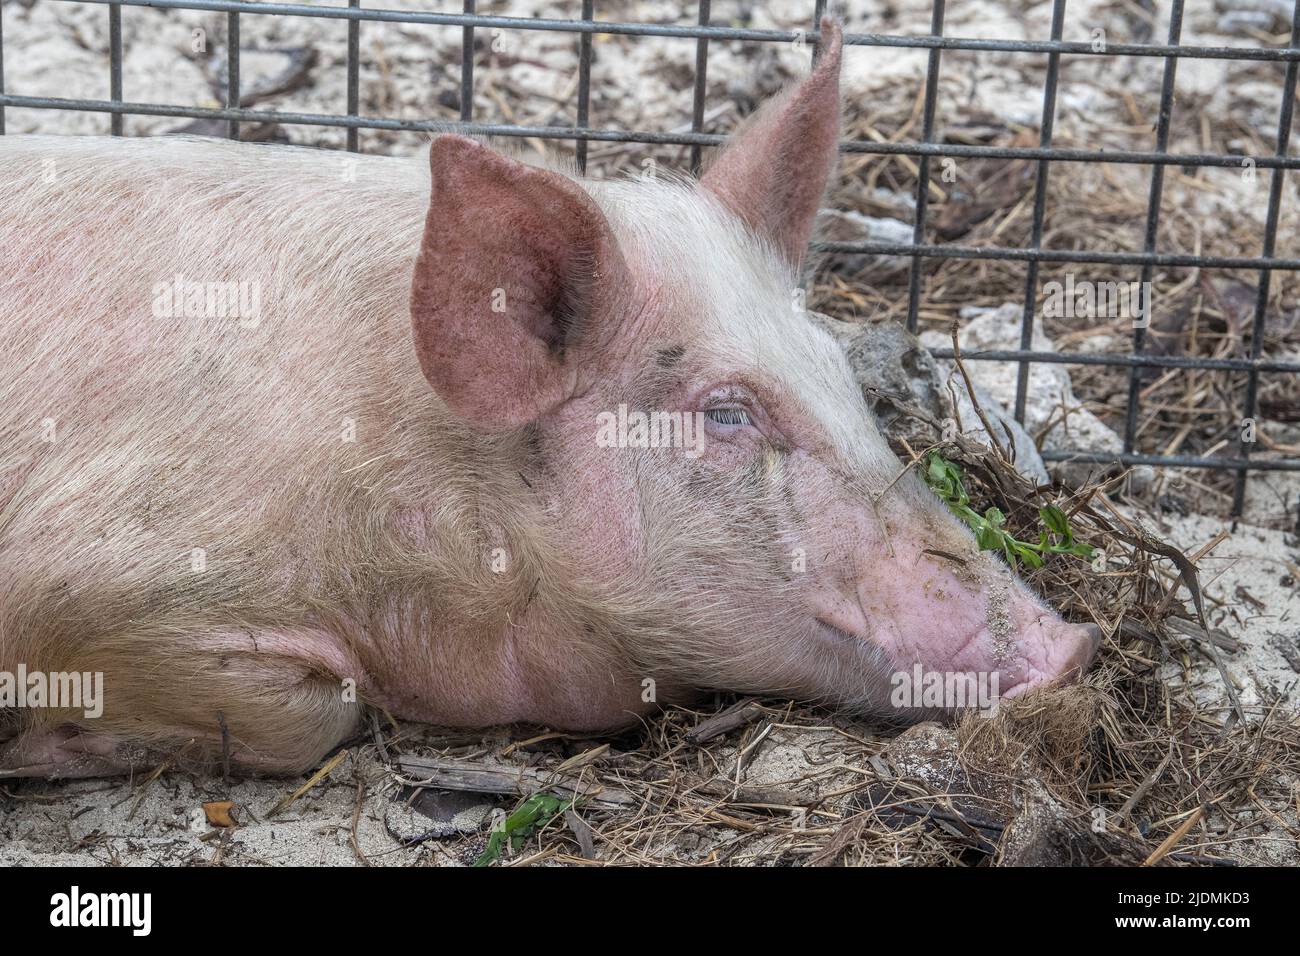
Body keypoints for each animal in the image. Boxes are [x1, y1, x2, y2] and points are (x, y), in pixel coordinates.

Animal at [0, 18, 1099, 779]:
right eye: (726, 412)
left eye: (840, 372)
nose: (1071, 645)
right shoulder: (99, 574)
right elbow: (318, 716)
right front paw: (38, 749)